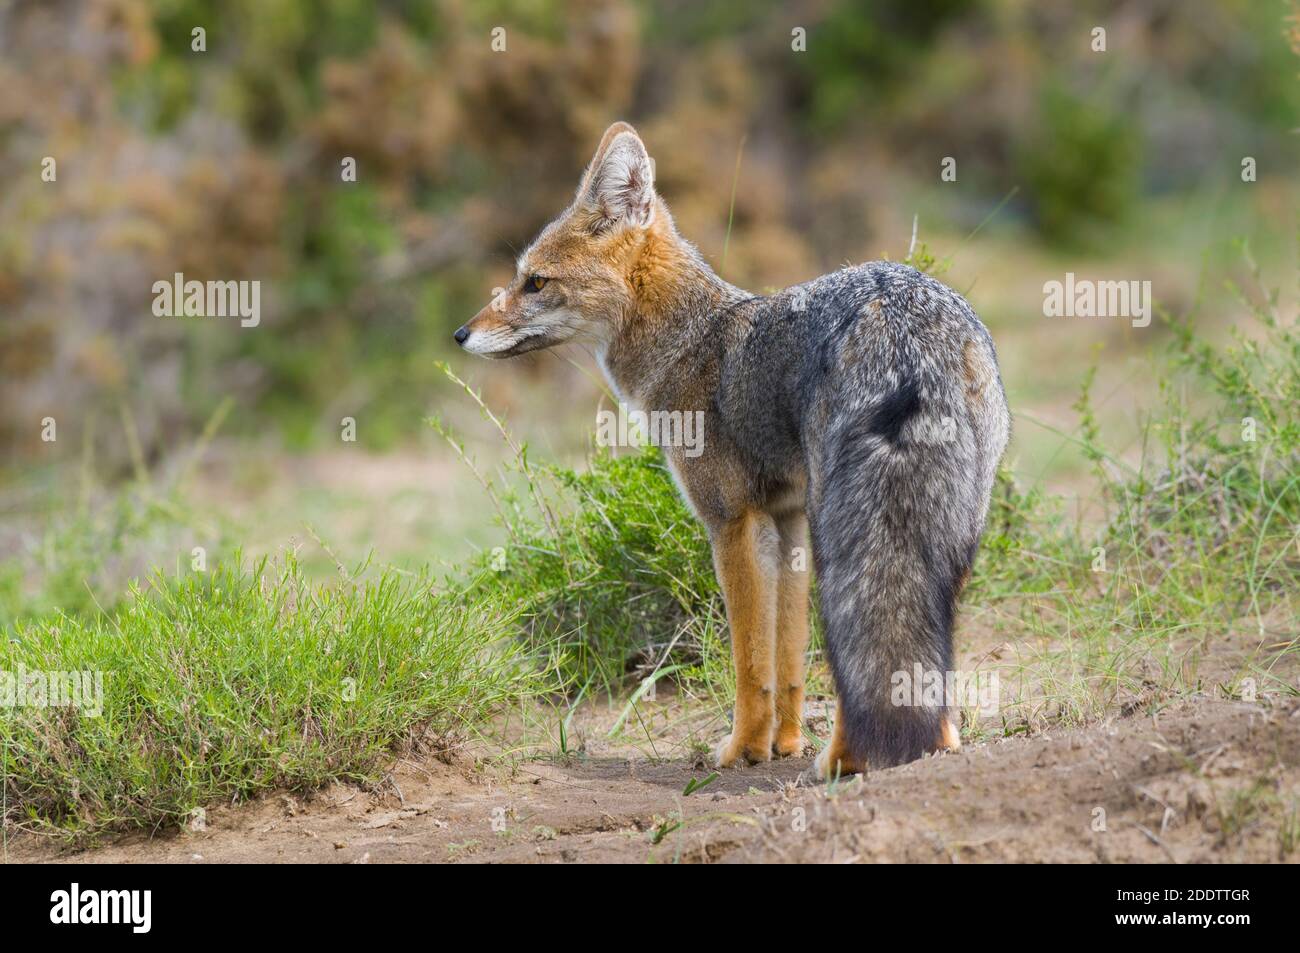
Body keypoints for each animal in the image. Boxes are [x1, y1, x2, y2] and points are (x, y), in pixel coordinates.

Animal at [454, 122, 1010, 778]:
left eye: (534, 282)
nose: (460, 334)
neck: (690, 339)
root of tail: (904, 316)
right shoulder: (786, 520)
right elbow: (789, 655)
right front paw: (785, 742)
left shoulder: (730, 521)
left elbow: (749, 659)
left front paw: (744, 748)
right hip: (948, 528)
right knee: (926, 648)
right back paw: (936, 743)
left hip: (845, 527)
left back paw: (845, 761)